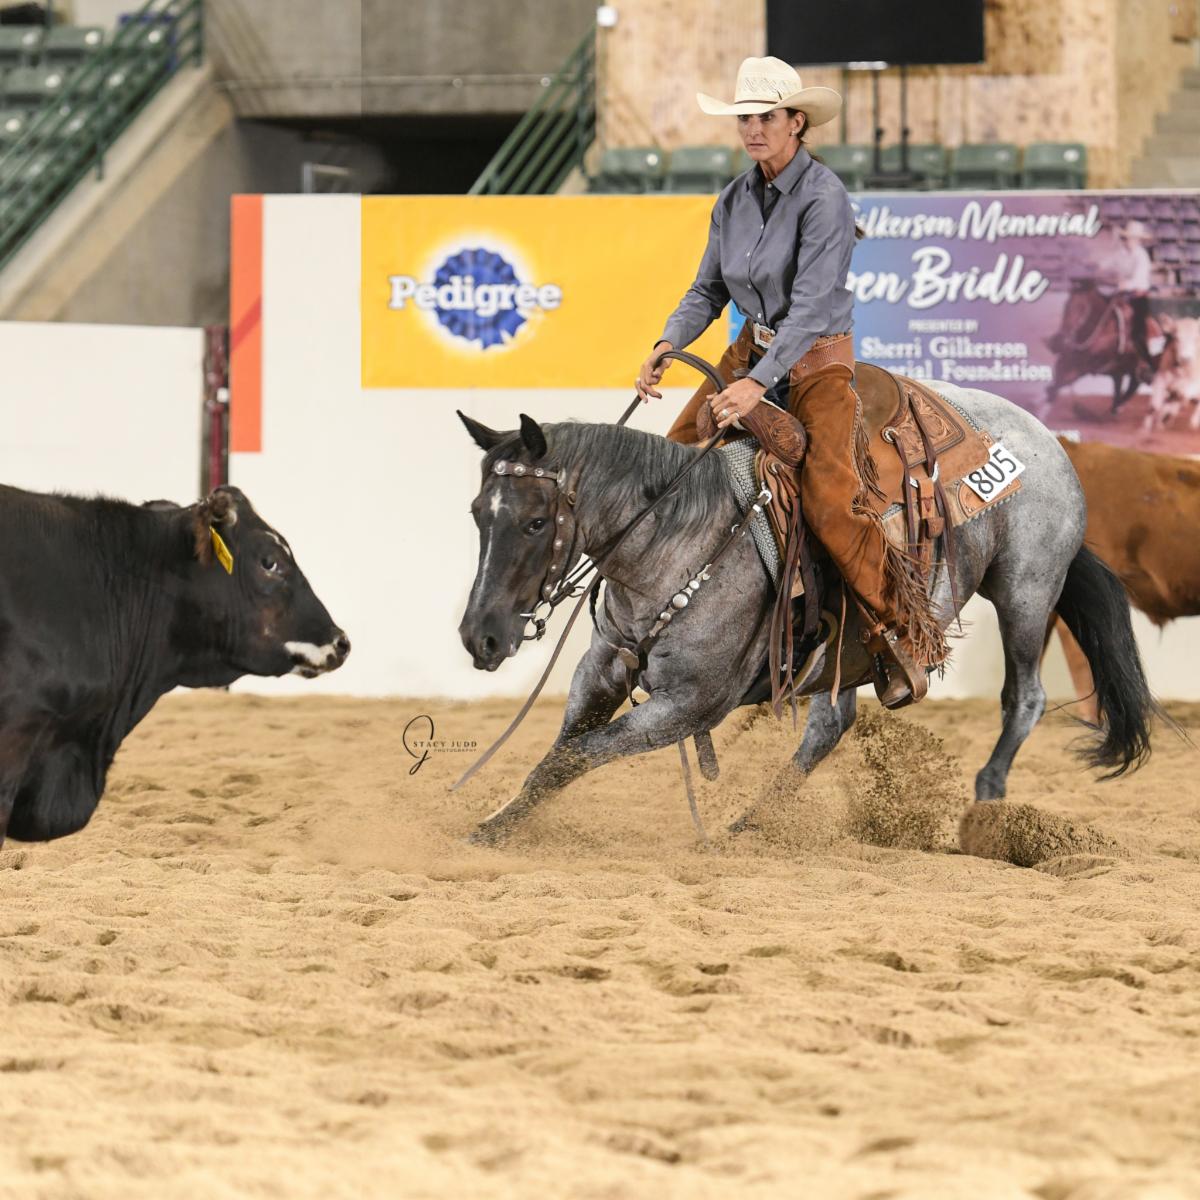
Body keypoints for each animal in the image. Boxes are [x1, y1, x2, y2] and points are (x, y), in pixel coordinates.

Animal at [457, 381, 1158, 846]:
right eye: (477, 513)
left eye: (536, 521)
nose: (479, 637)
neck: (678, 539)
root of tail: (1050, 442)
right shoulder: (602, 670)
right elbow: (556, 757)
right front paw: (490, 826)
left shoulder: (689, 706)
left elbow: (576, 756)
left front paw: (485, 835)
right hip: (851, 646)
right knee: (830, 725)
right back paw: (748, 824)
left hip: (1026, 589)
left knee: (1025, 696)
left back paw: (986, 802)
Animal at [1045, 280, 1155, 415]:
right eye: (1066, 305)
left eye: (1082, 307)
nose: (1058, 340)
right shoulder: (1069, 360)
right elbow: (1056, 382)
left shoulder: (1092, 364)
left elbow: (1063, 380)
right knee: (1129, 383)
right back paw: (1116, 406)